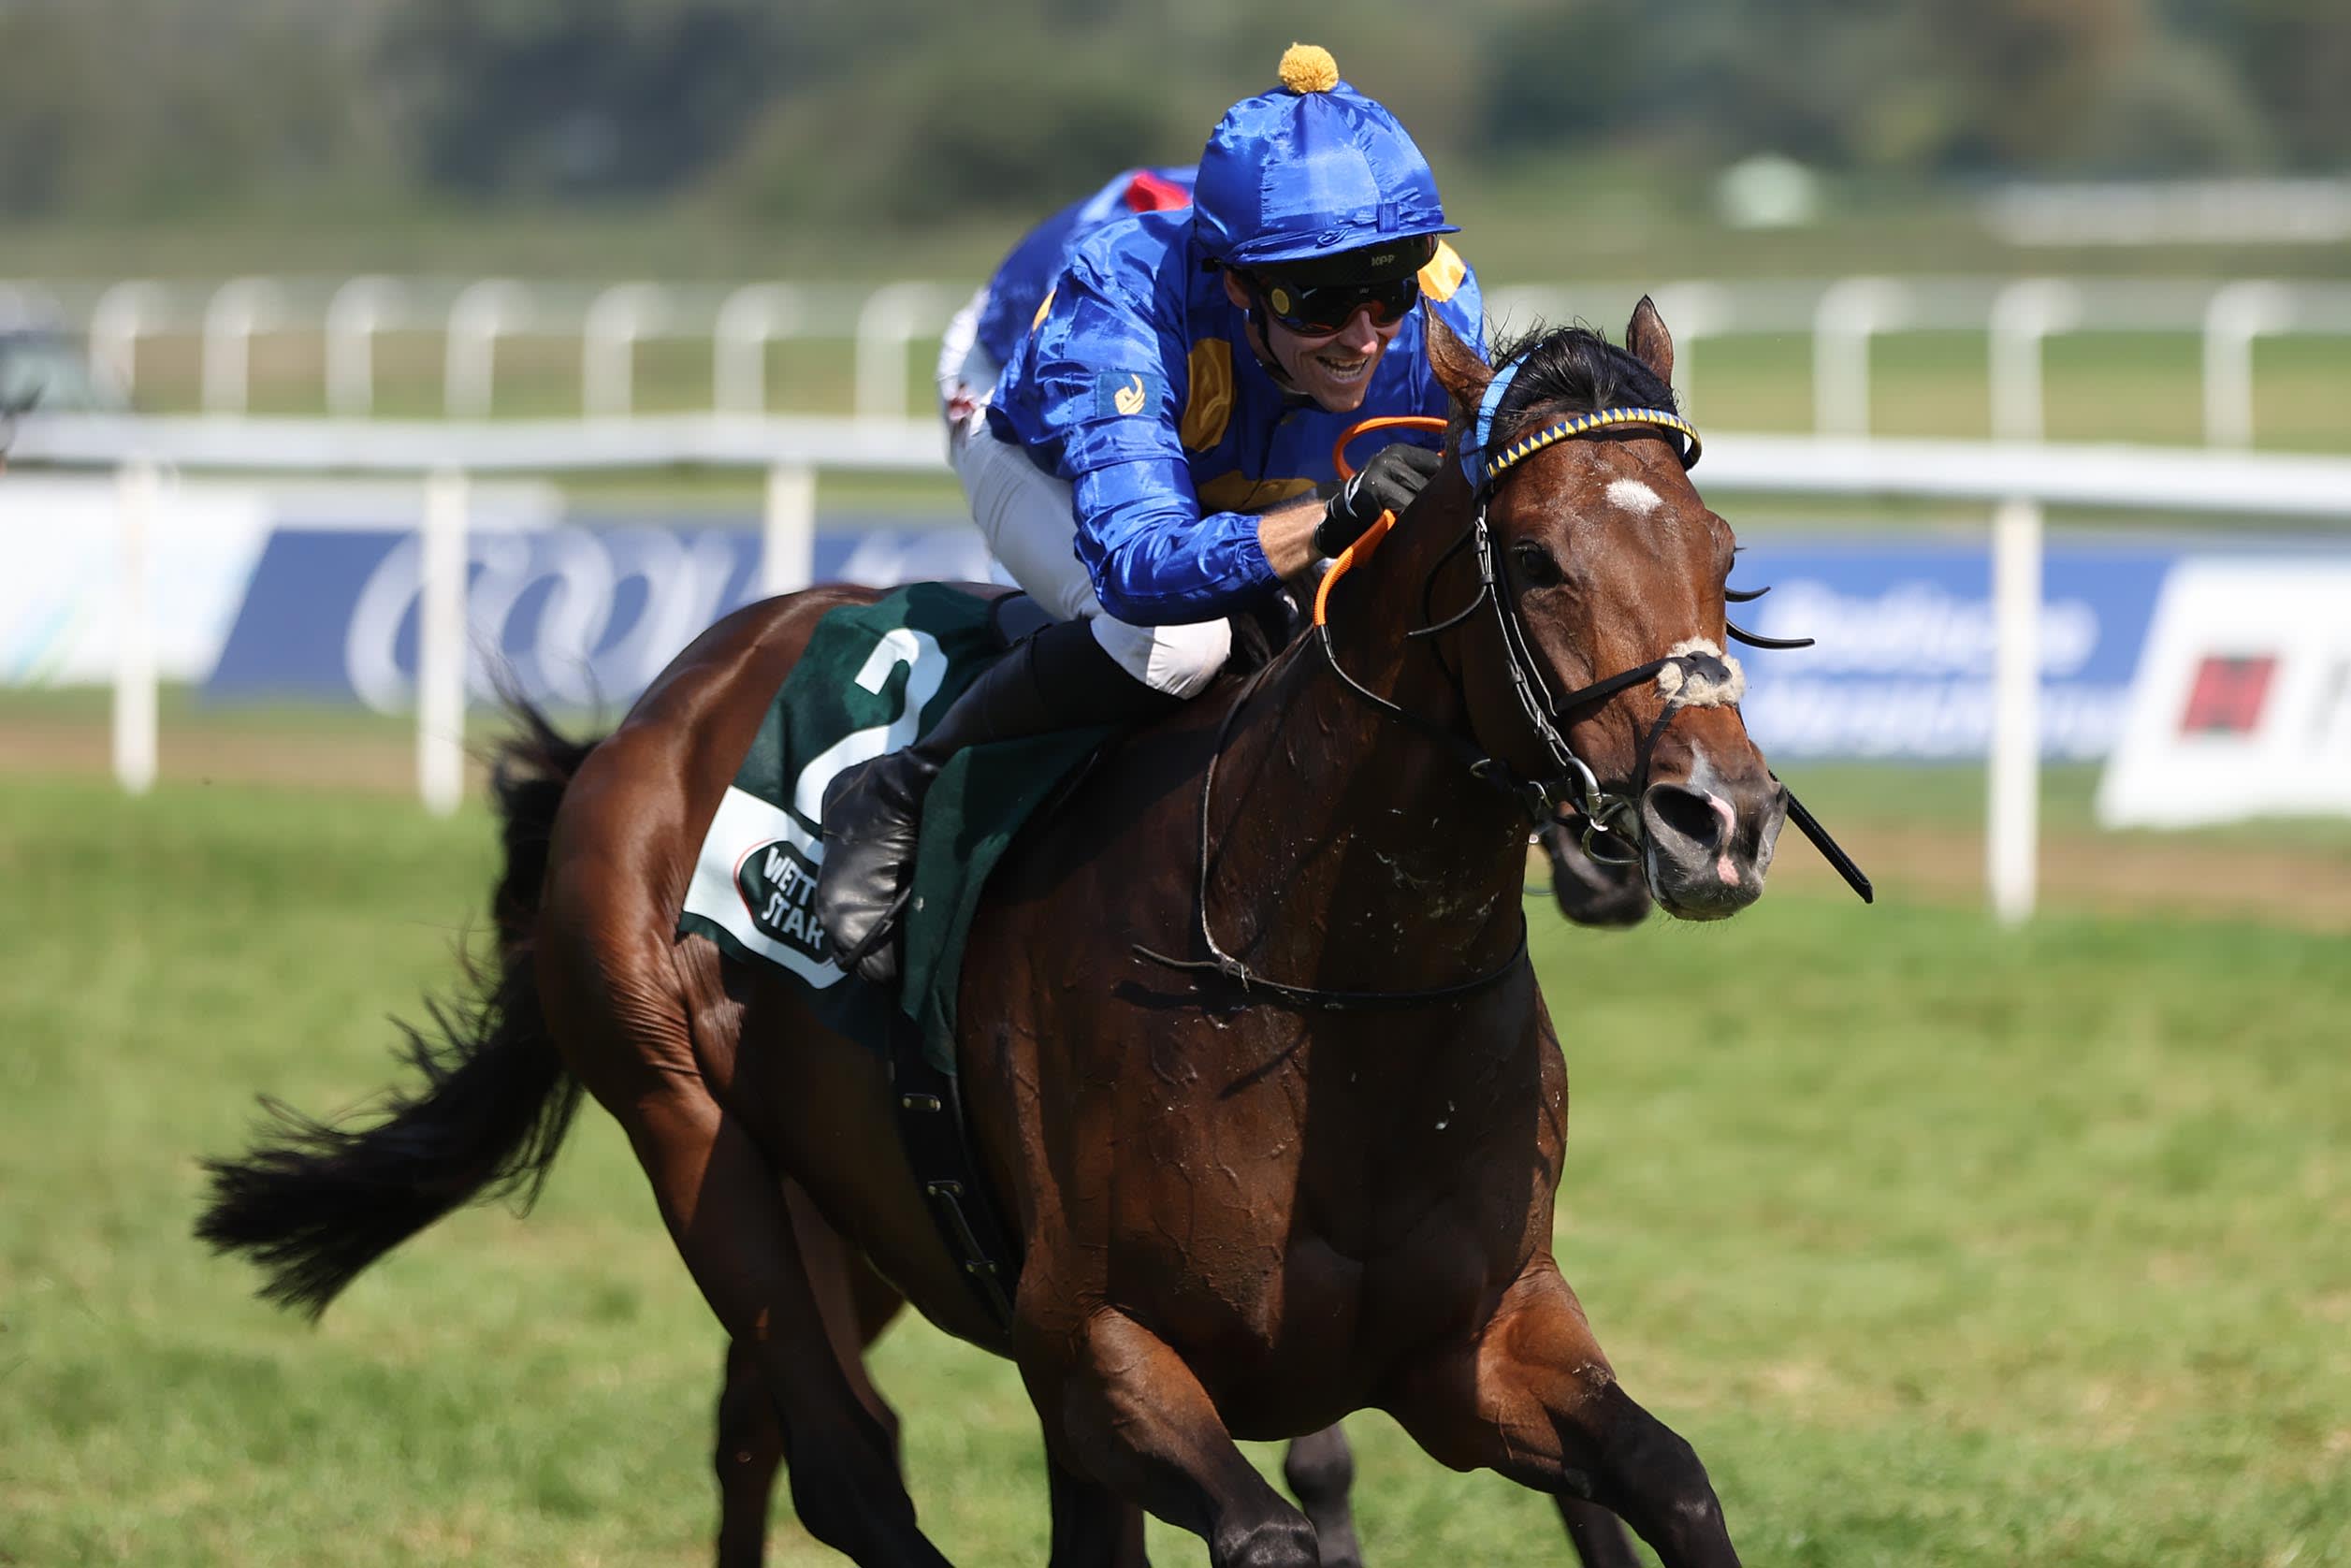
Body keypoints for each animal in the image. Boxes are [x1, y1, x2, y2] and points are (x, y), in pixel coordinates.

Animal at [199, 300, 1788, 1568]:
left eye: (1723, 553)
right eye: (1535, 558)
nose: (1717, 815)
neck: (1319, 988)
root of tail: (656, 712)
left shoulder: (1469, 1344)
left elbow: (1671, 1484)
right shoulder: (1095, 1348)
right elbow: (1272, 1528)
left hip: (858, 1215)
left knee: (767, 1436)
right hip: (693, 1136)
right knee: (842, 1471)